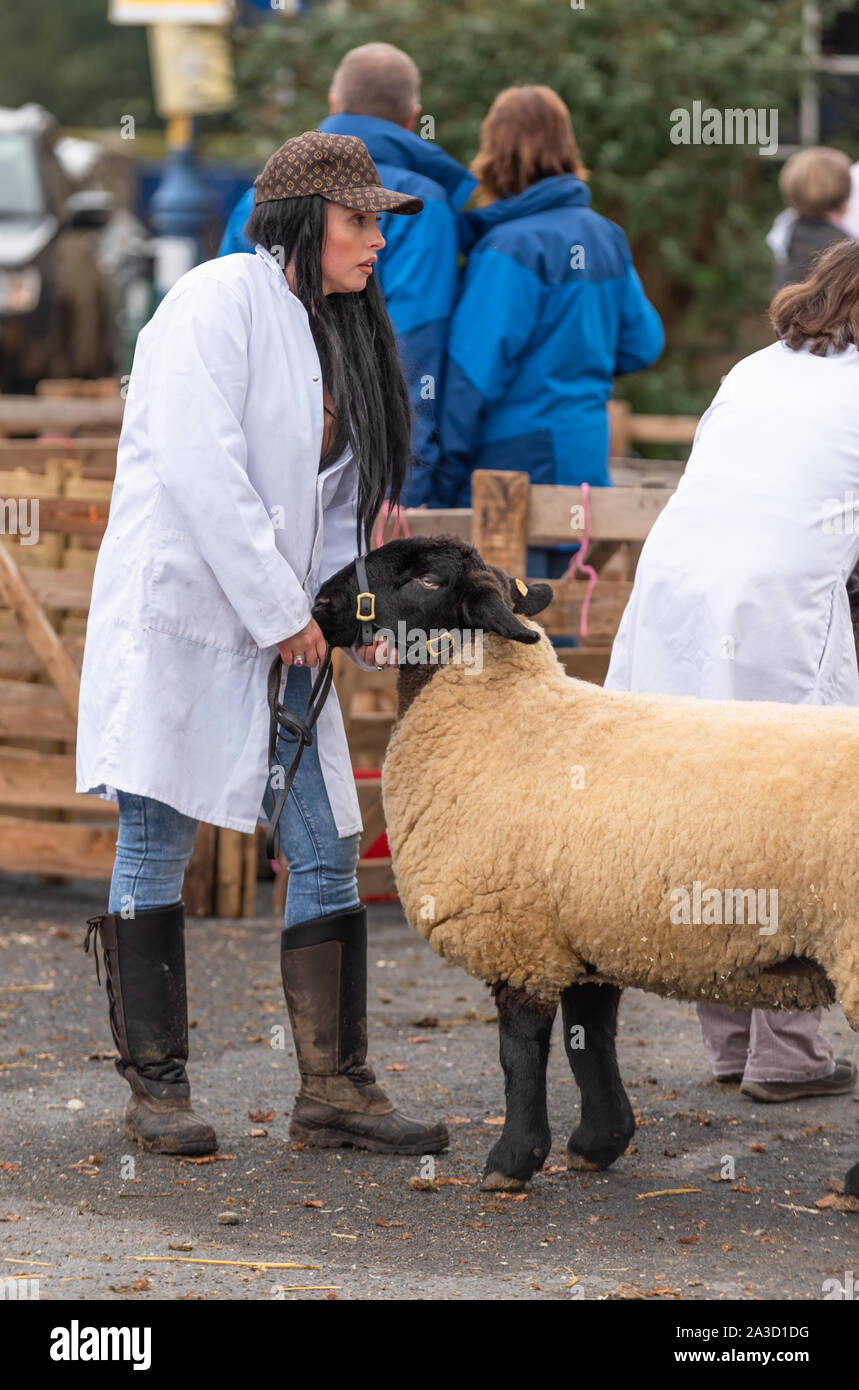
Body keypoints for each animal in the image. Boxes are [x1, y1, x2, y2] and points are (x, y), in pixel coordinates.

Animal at [313, 535, 859, 1201]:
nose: (321, 603)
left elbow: (520, 1053)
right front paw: (599, 1144)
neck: (501, 717)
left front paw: (511, 1162)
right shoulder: (582, 932)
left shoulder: (518, 934)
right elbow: (591, 1043)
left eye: (425, 580)